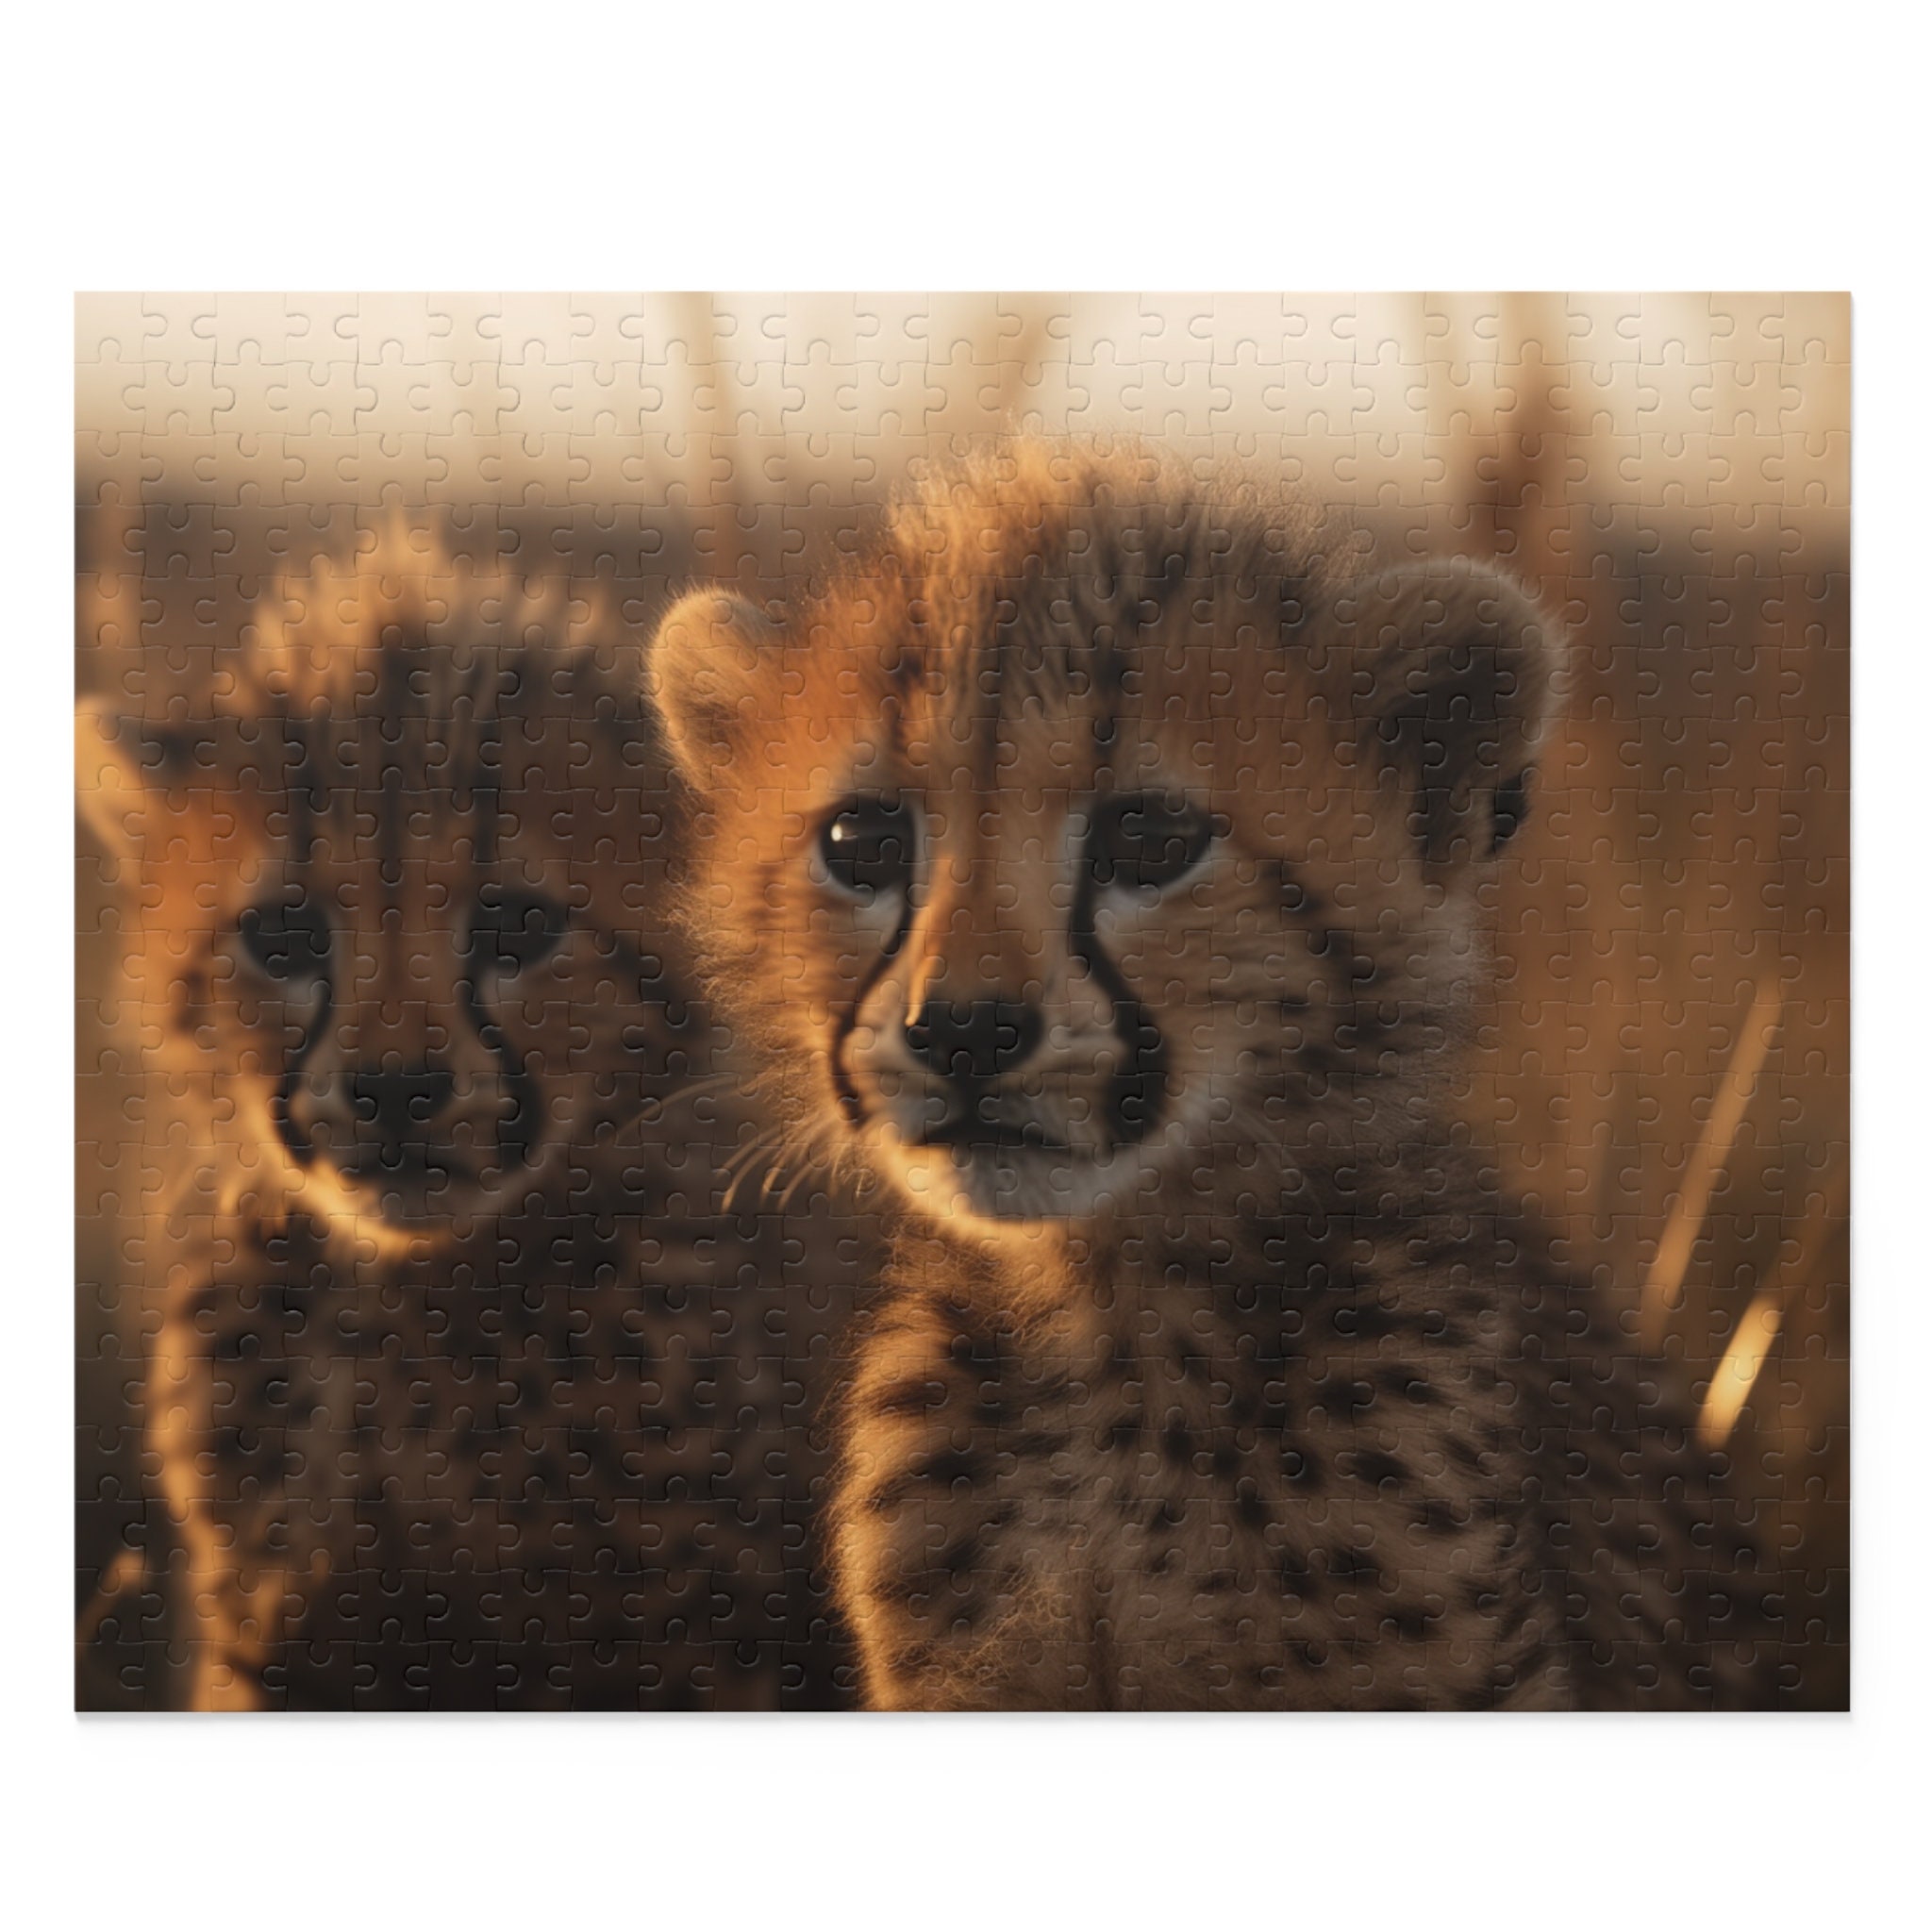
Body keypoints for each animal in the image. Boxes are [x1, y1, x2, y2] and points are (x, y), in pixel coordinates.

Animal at [77, 527, 861, 1709]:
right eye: (284, 937)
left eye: (517, 926)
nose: (394, 1089)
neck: (413, 1306)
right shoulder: (275, 1630)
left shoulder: (681, 1640)